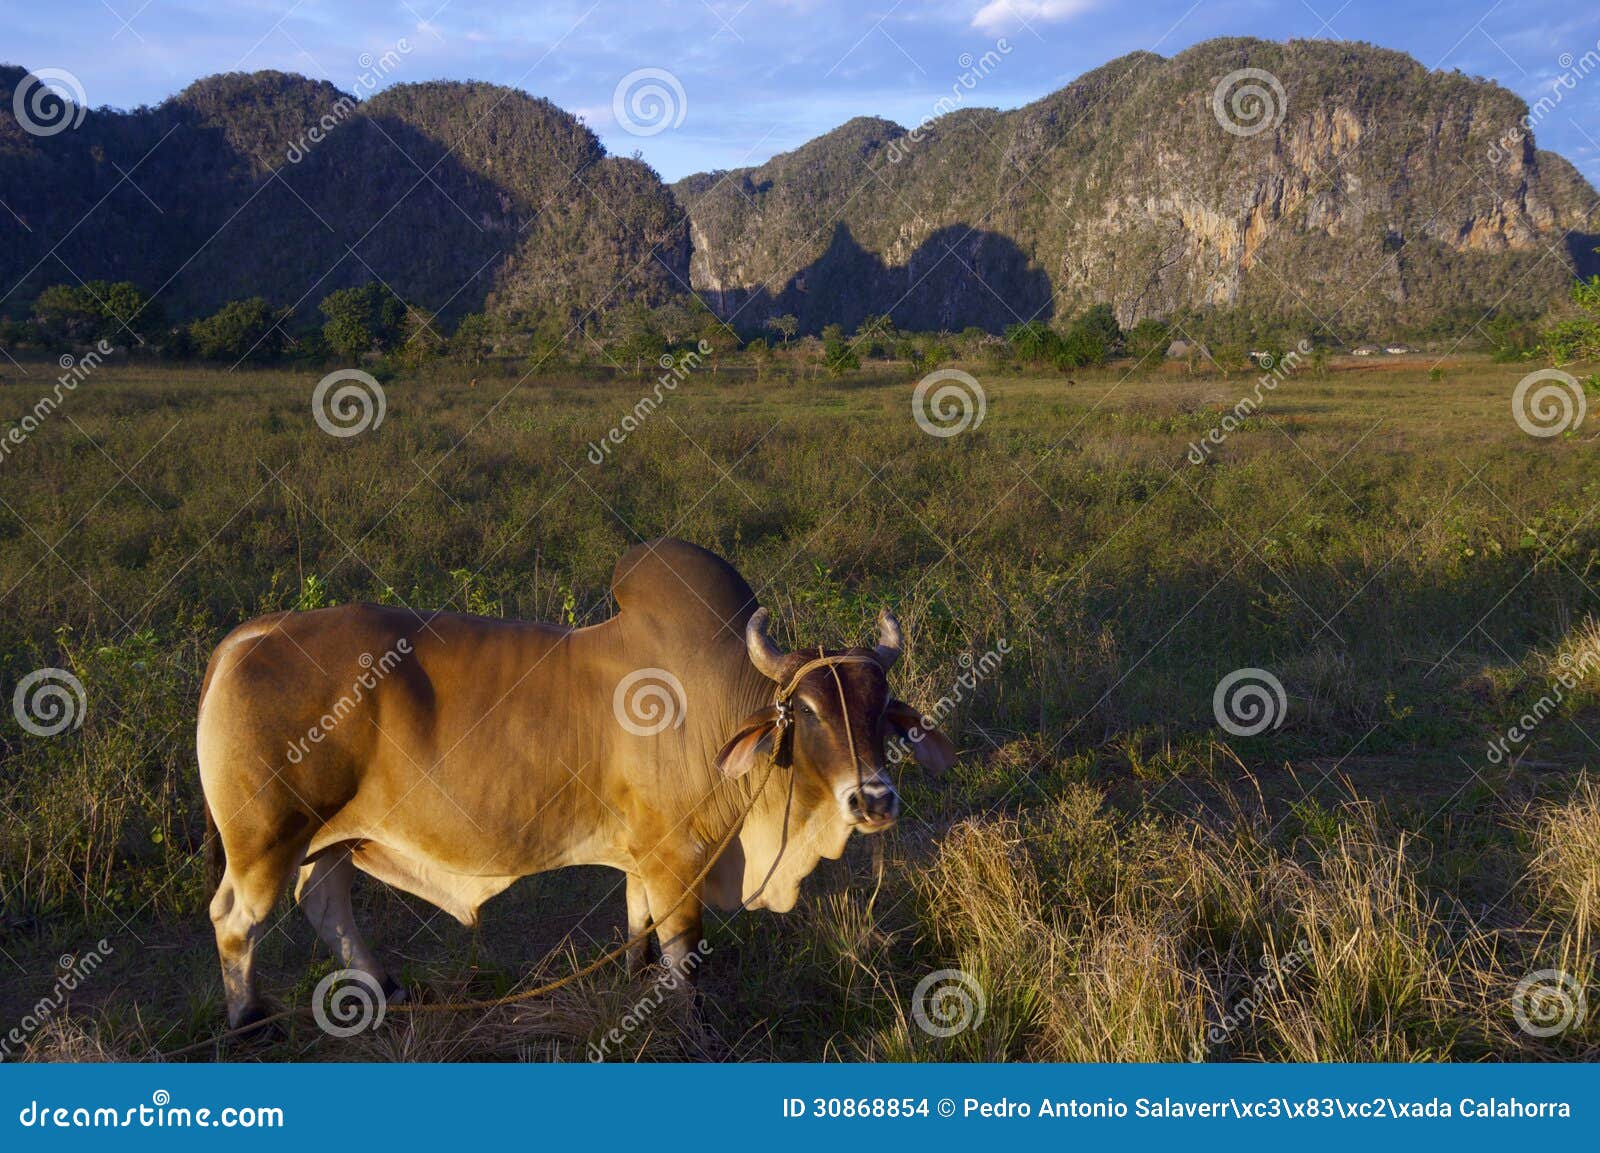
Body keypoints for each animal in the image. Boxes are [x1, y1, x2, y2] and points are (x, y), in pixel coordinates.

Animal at [197, 538, 955, 1029]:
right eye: (811, 712)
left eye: (879, 709)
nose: (874, 799)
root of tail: (254, 634)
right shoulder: (679, 858)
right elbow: (684, 958)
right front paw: (694, 1031)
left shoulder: (645, 858)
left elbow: (637, 928)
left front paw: (633, 983)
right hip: (266, 838)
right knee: (236, 918)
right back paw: (249, 1020)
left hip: (329, 835)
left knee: (324, 902)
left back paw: (387, 991)